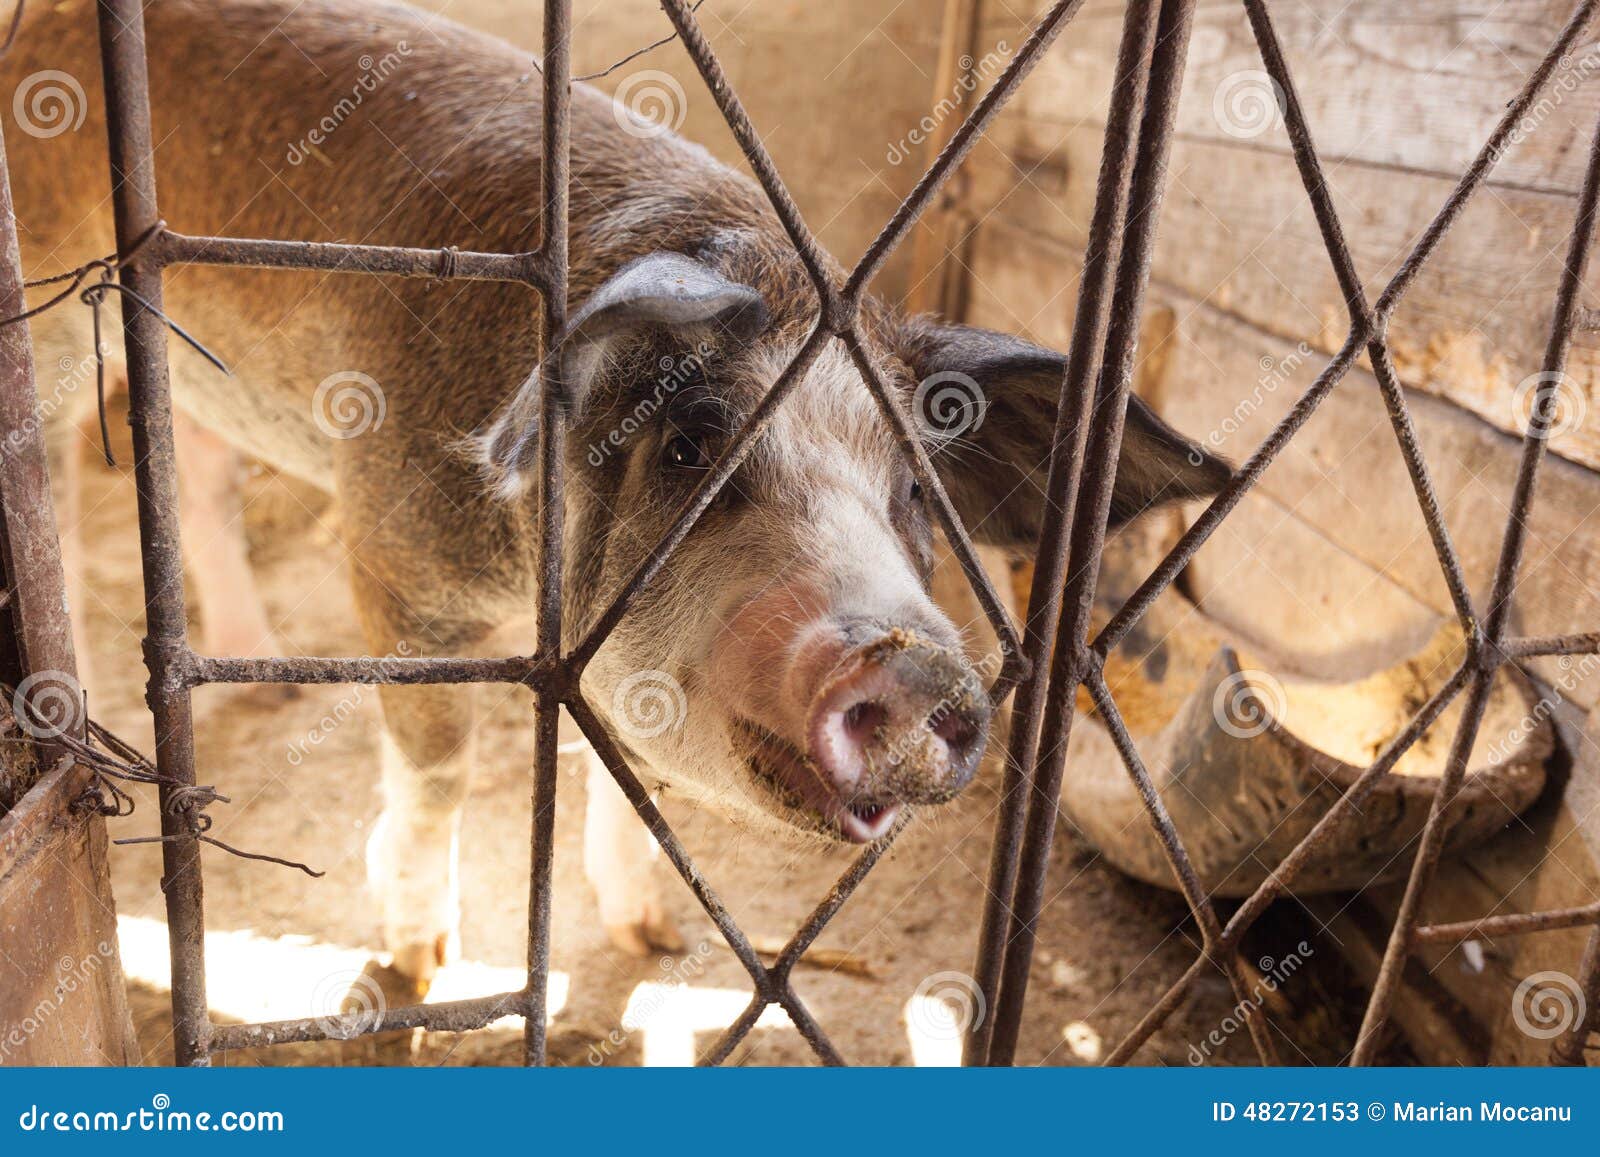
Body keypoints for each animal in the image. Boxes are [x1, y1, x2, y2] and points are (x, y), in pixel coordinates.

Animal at [2, 0, 1228, 985]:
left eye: (916, 497)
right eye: (688, 447)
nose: (918, 659)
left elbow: (627, 772)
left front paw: (653, 942)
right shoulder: (397, 560)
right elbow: (439, 764)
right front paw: (414, 964)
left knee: (200, 478)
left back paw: (264, 676)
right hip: (57, 307)